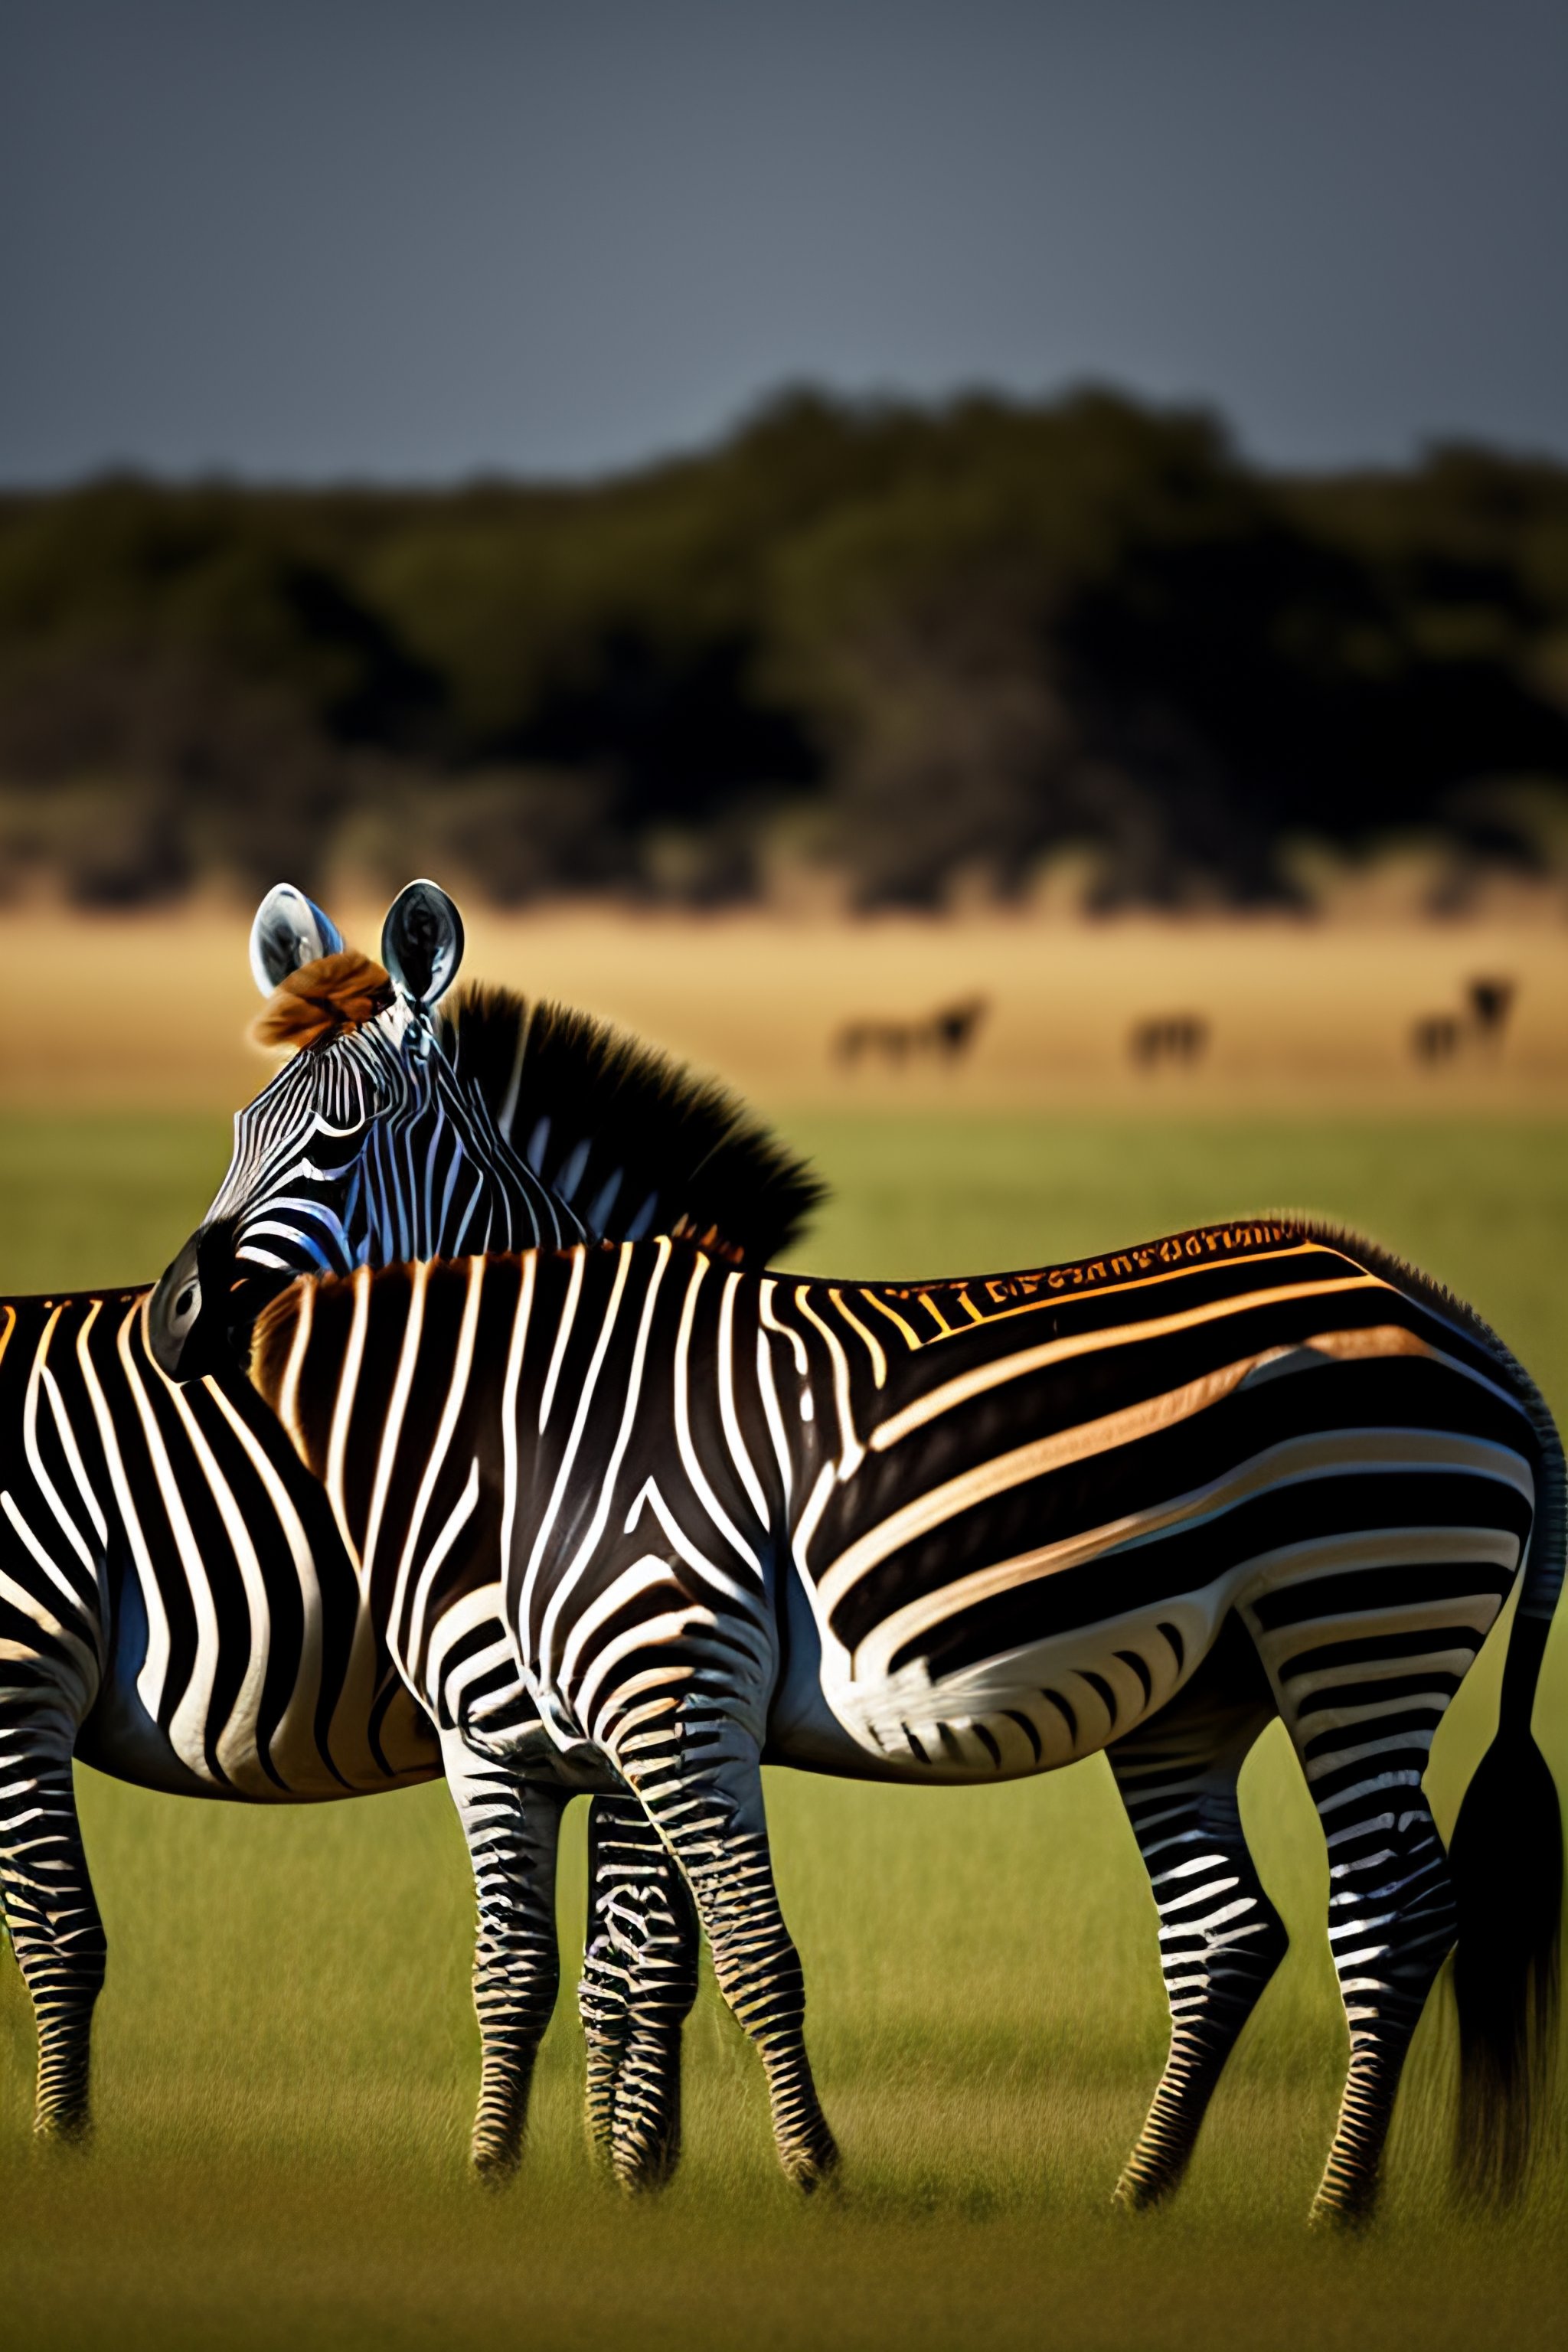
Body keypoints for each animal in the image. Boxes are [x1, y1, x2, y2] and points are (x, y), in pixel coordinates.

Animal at [0, 879, 817, 2169]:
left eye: (334, 1145)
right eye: (236, 1133)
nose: (170, 1325)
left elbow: (632, 1962)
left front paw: (623, 2171)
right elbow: (632, 1960)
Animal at [166, 1213, 1565, 2224]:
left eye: (320, 1131)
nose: (174, 1306)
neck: (528, 1432)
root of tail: (1451, 1321)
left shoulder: (671, 1693)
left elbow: (738, 1952)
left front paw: (806, 2172)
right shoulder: (531, 1743)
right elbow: (547, 1962)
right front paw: (525, 2181)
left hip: (1360, 1615)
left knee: (1393, 1910)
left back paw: (1339, 2208)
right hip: (1204, 1689)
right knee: (1225, 1930)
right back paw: (1143, 2194)